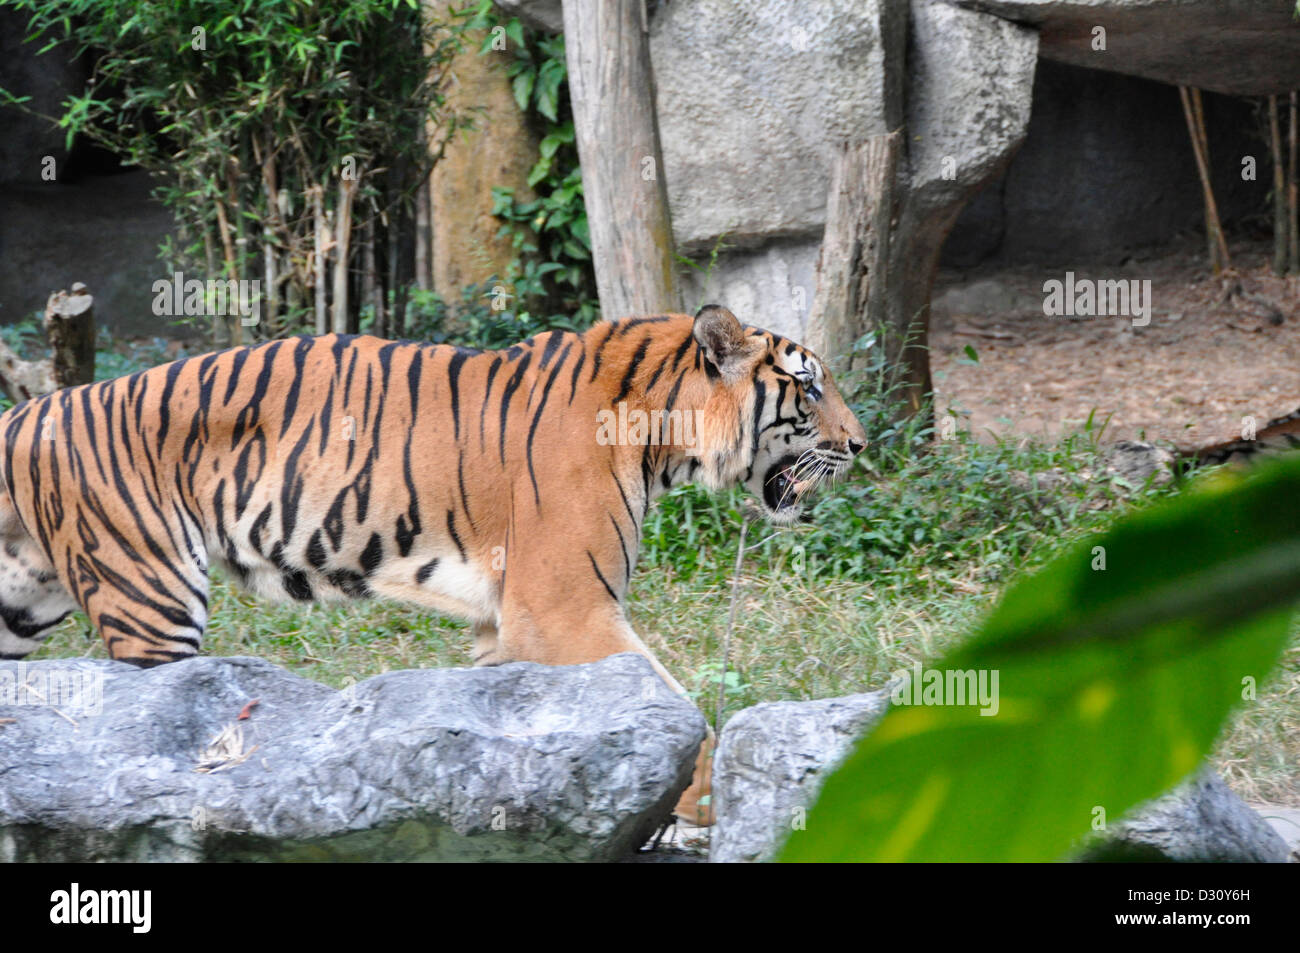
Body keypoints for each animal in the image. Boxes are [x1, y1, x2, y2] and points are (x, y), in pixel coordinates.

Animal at [0, 303, 866, 825]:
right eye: (809, 388)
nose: (860, 445)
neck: (661, 433)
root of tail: (32, 409)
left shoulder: (507, 625)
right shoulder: (562, 606)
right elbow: (677, 707)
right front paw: (722, 805)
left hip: (25, 603)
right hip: (153, 598)